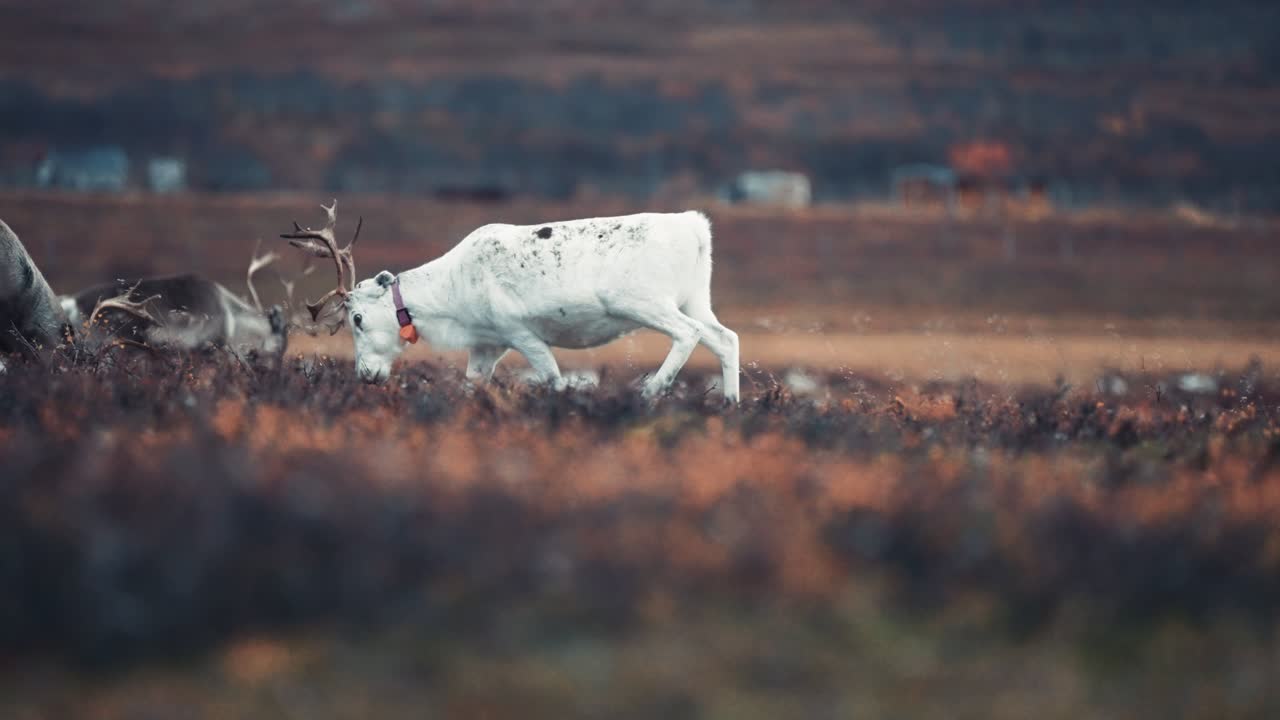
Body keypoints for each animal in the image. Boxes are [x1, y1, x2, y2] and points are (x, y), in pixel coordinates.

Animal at [279, 200, 740, 402]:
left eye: (357, 318)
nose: (367, 376)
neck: (450, 294)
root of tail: (695, 226)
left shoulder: (521, 333)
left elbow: (553, 378)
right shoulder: (487, 344)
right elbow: (471, 384)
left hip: (644, 303)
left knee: (688, 334)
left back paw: (649, 391)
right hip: (696, 299)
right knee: (725, 338)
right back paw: (730, 403)